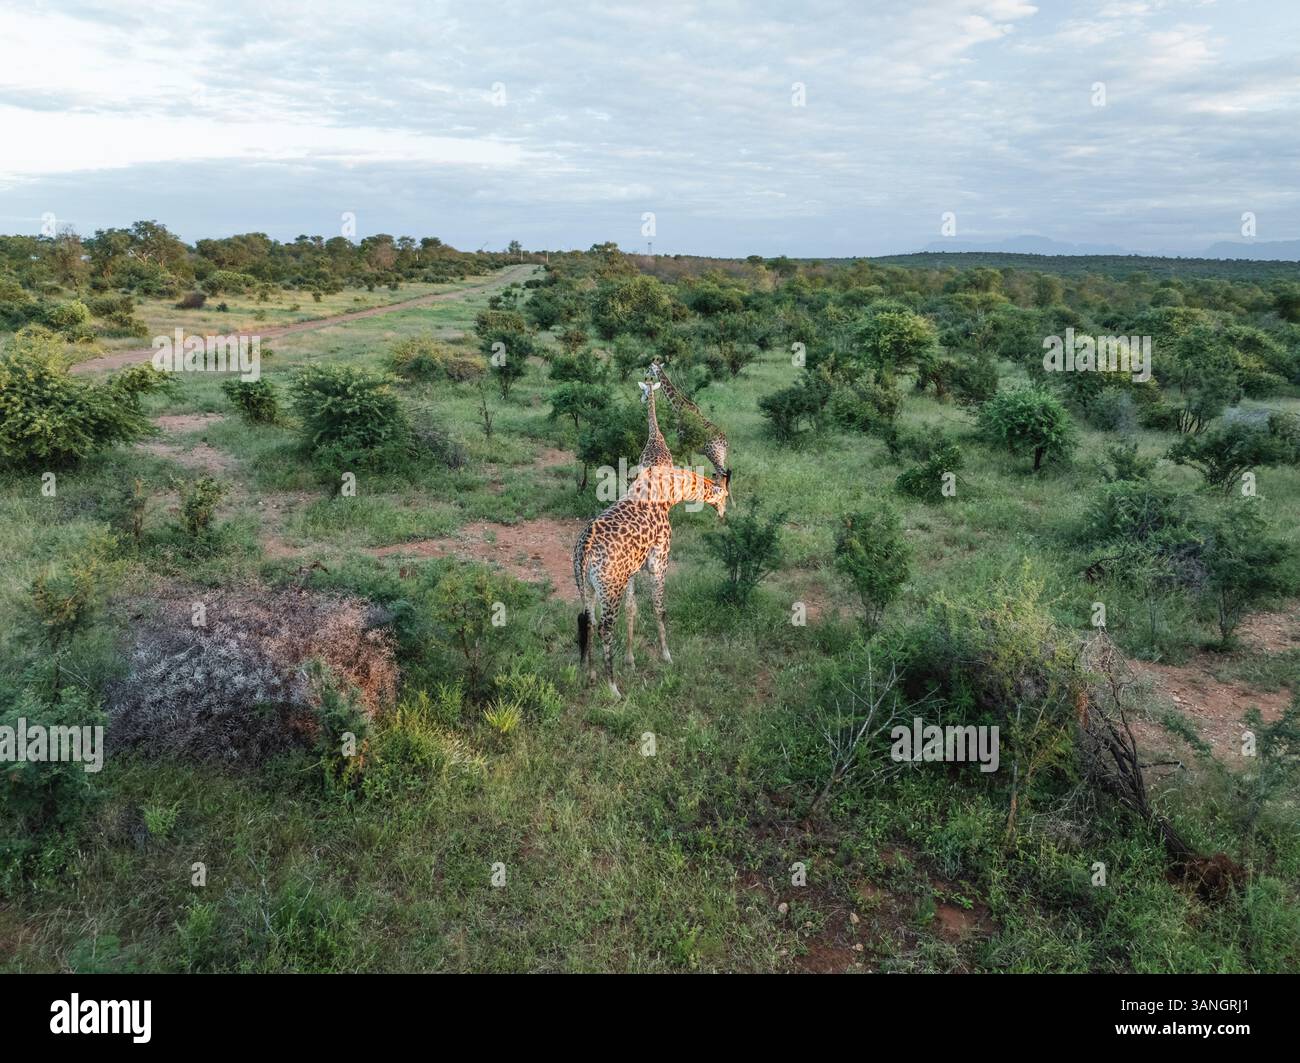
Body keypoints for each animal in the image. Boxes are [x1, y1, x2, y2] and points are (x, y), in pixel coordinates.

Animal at [574, 466, 729, 697]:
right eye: (726, 495)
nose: (723, 514)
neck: (669, 493)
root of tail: (585, 550)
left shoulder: (631, 571)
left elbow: (632, 608)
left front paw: (630, 661)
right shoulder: (659, 563)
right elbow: (659, 609)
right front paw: (667, 655)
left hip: (587, 586)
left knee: (589, 622)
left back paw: (592, 676)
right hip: (610, 590)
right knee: (605, 628)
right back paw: (613, 688)